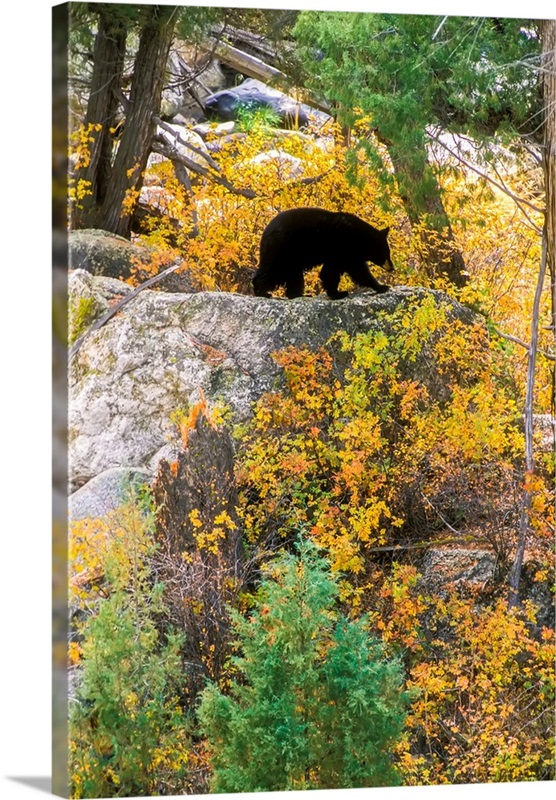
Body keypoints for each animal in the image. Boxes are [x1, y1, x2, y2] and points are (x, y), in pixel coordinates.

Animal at [252, 207, 394, 300]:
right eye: (385, 254)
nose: (392, 268)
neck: (359, 238)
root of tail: (265, 232)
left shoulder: (343, 254)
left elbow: (335, 271)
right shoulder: (343, 249)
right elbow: (355, 271)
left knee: (293, 275)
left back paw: (299, 294)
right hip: (282, 248)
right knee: (273, 270)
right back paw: (261, 292)